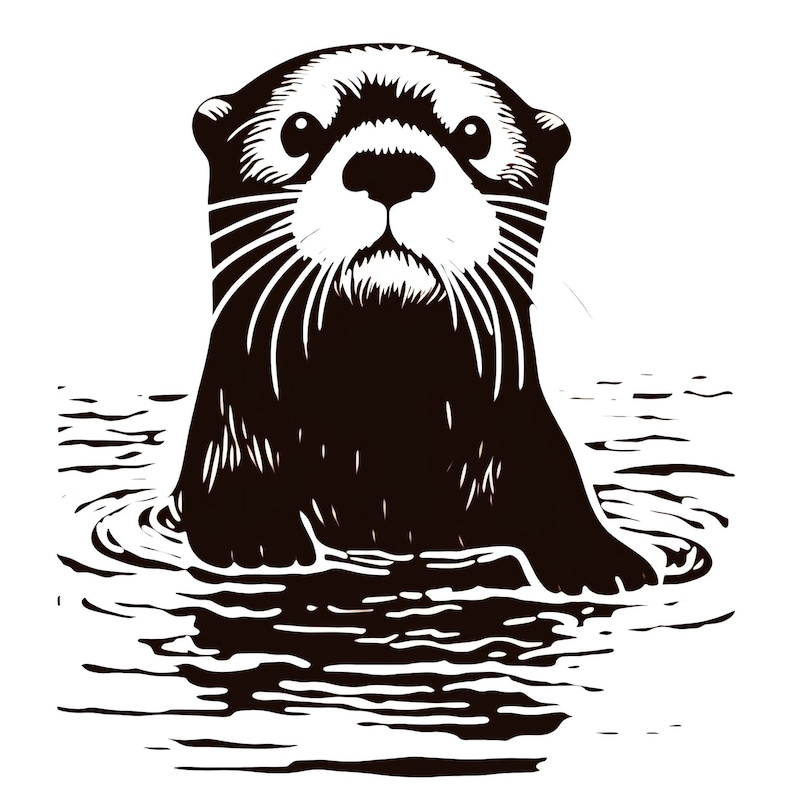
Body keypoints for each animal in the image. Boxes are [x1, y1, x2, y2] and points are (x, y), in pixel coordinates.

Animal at [167, 43, 657, 595]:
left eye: (475, 132)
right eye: (299, 127)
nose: (388, 169)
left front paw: (599, 558)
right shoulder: (228, 444)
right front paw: (253, 532)